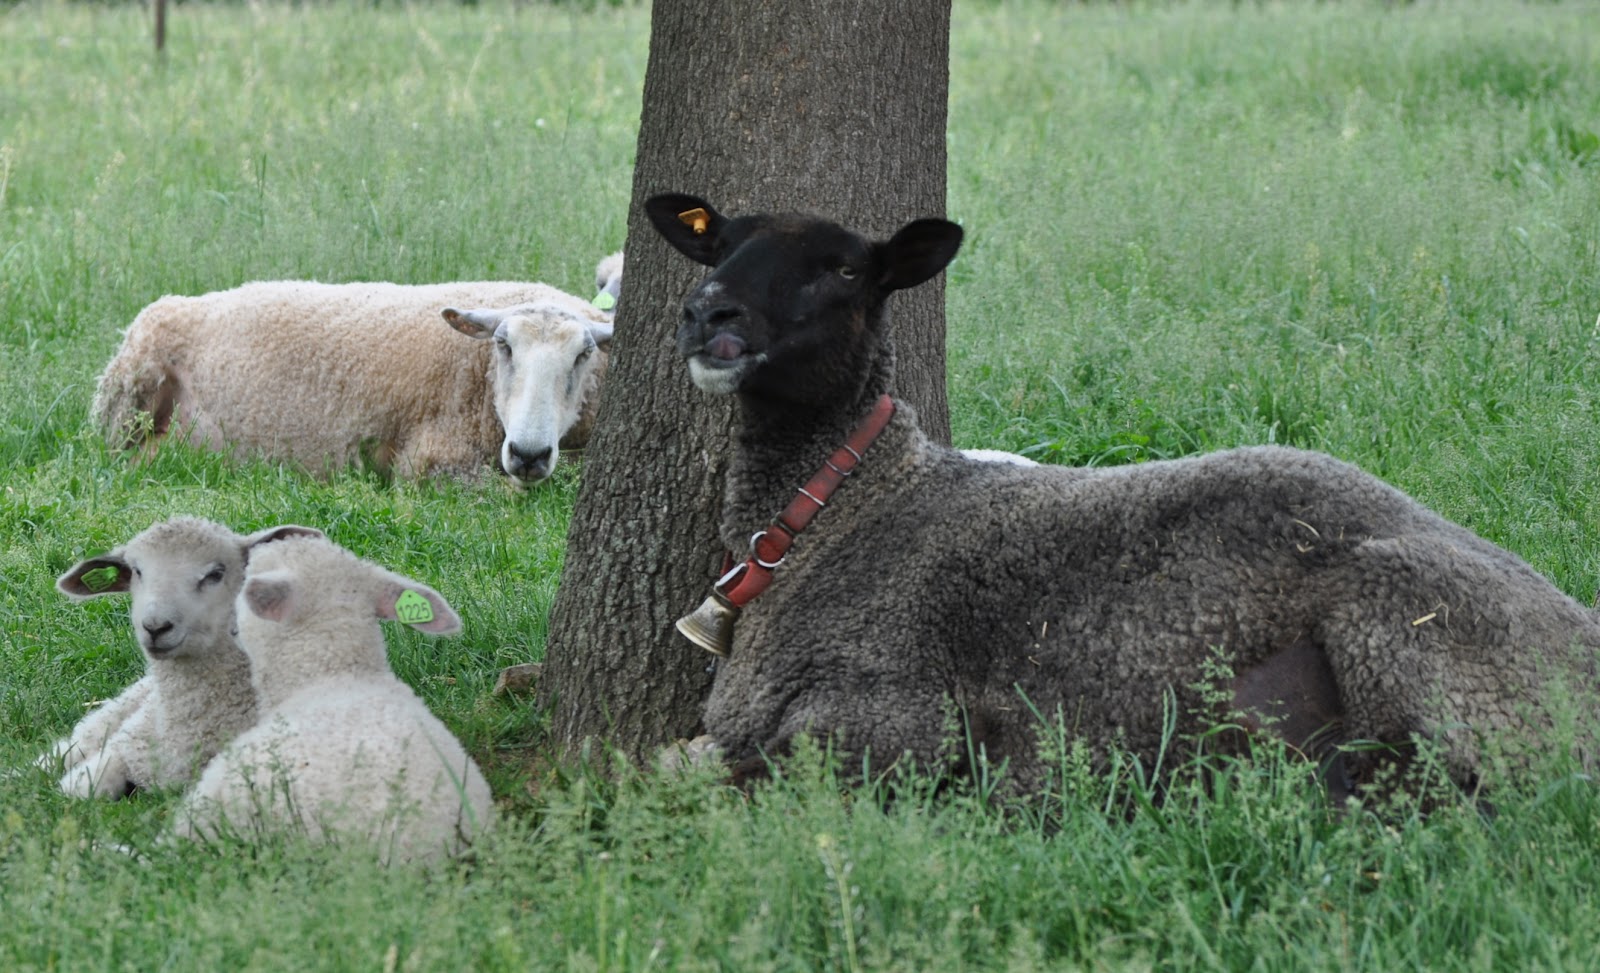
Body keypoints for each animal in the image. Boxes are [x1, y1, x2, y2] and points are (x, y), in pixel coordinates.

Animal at [645, 192, 1600, 798]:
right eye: (719, 242)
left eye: (843, 271)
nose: (707, 312)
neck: (845, 506)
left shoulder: (891, 717)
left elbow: (681, 779)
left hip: (1413, 631)